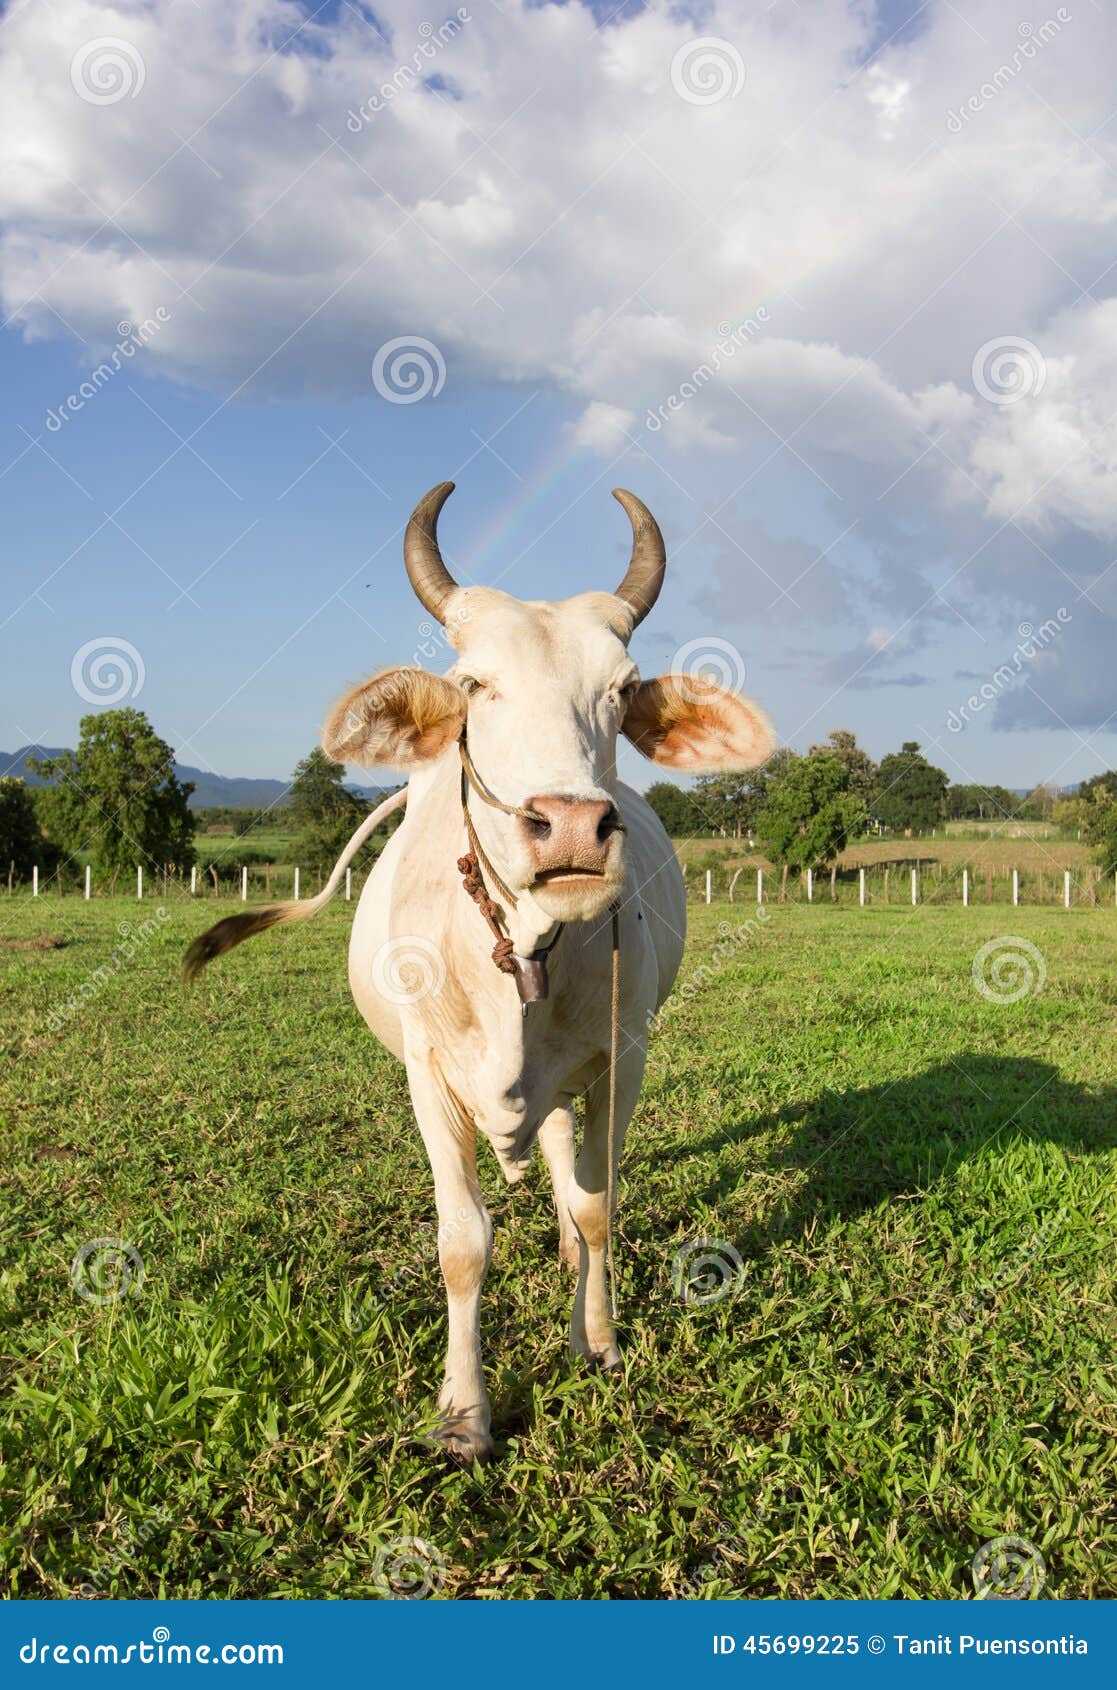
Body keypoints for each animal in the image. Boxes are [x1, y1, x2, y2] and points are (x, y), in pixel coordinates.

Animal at [184, 483, 774, 1462]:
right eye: (472, 684)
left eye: (620, 689)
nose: (569, 829)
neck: (523, 955)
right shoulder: (430, 1076)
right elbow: (463, 1243)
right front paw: (464, 1411)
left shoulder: (623, 1056)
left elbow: (599, 1204)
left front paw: (596, 1338)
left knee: (565, 1154)